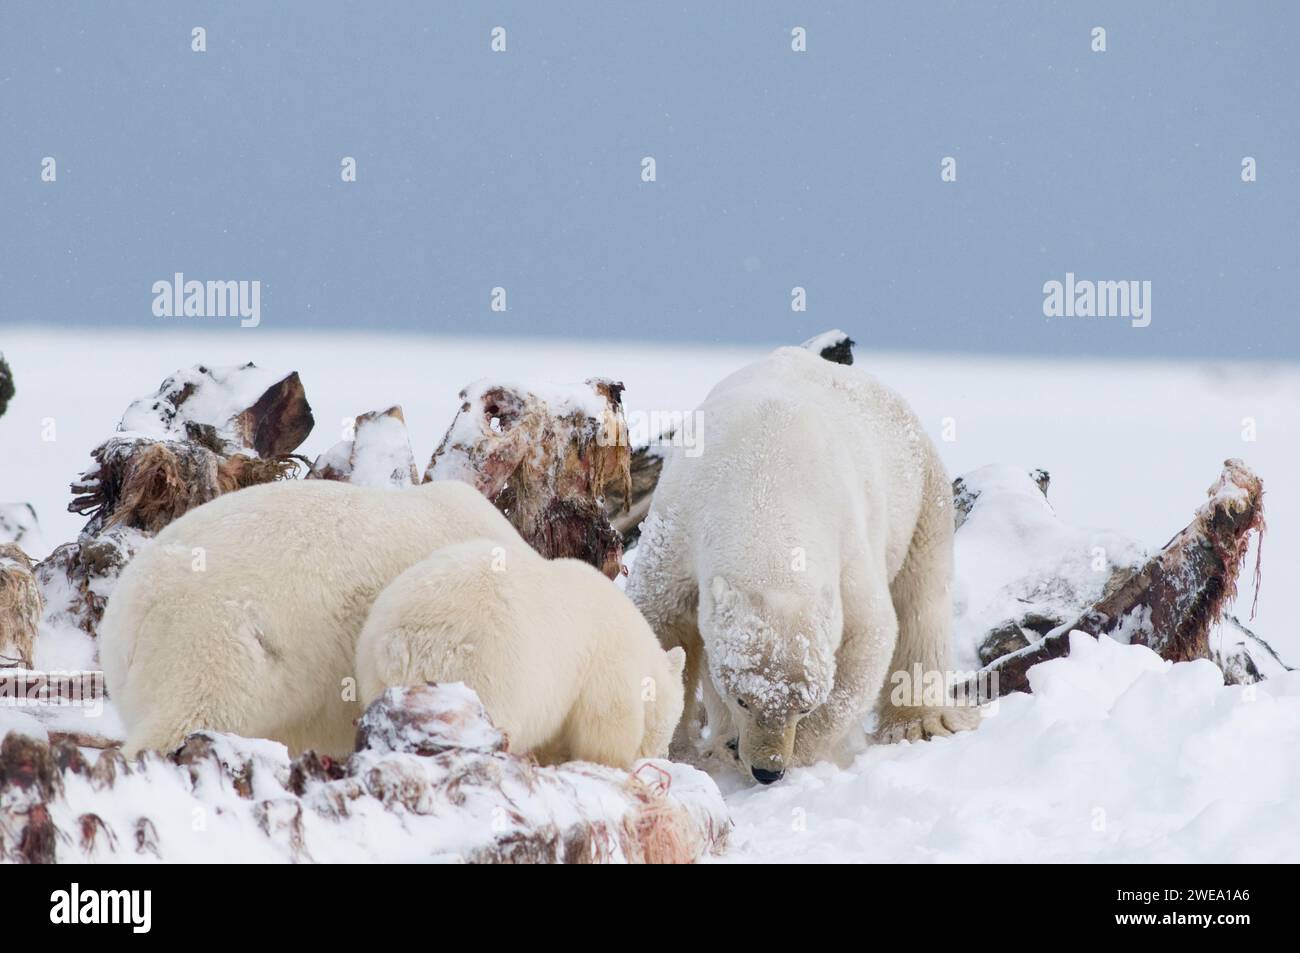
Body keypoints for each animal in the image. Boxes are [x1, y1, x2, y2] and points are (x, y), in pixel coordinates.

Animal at [356, 538, 687, 769]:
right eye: (670, 725)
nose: (663, 755)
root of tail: (400, 640)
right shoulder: (606, 663)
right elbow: (607, 726)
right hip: (484, 667)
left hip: (375, 674)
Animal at [626, 346, 979, 784]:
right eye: (742, 699)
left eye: (804, 706)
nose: (767, 770)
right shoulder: (682, 522)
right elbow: (662, 620)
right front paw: (680, 752)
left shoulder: (846, 545)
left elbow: (869, 634)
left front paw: (803, 754)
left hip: (921, 491)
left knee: (921, 595)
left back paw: (921, 722)